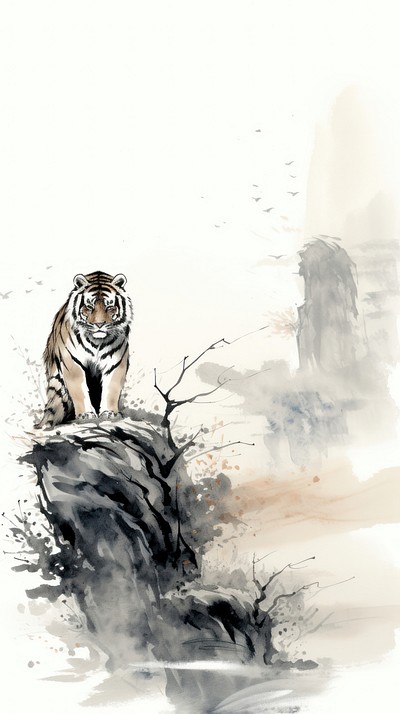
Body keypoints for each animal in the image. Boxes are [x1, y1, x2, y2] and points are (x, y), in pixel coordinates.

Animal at [34, 271, 133, 430]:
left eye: (109, 307)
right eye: (89, 307)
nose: (99, 324)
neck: (97, 342)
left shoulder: (115, 362)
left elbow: (112, 388)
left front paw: (110, 413)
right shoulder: (72, 362)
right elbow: (79, 390)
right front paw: (86, 414)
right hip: (58, 389)